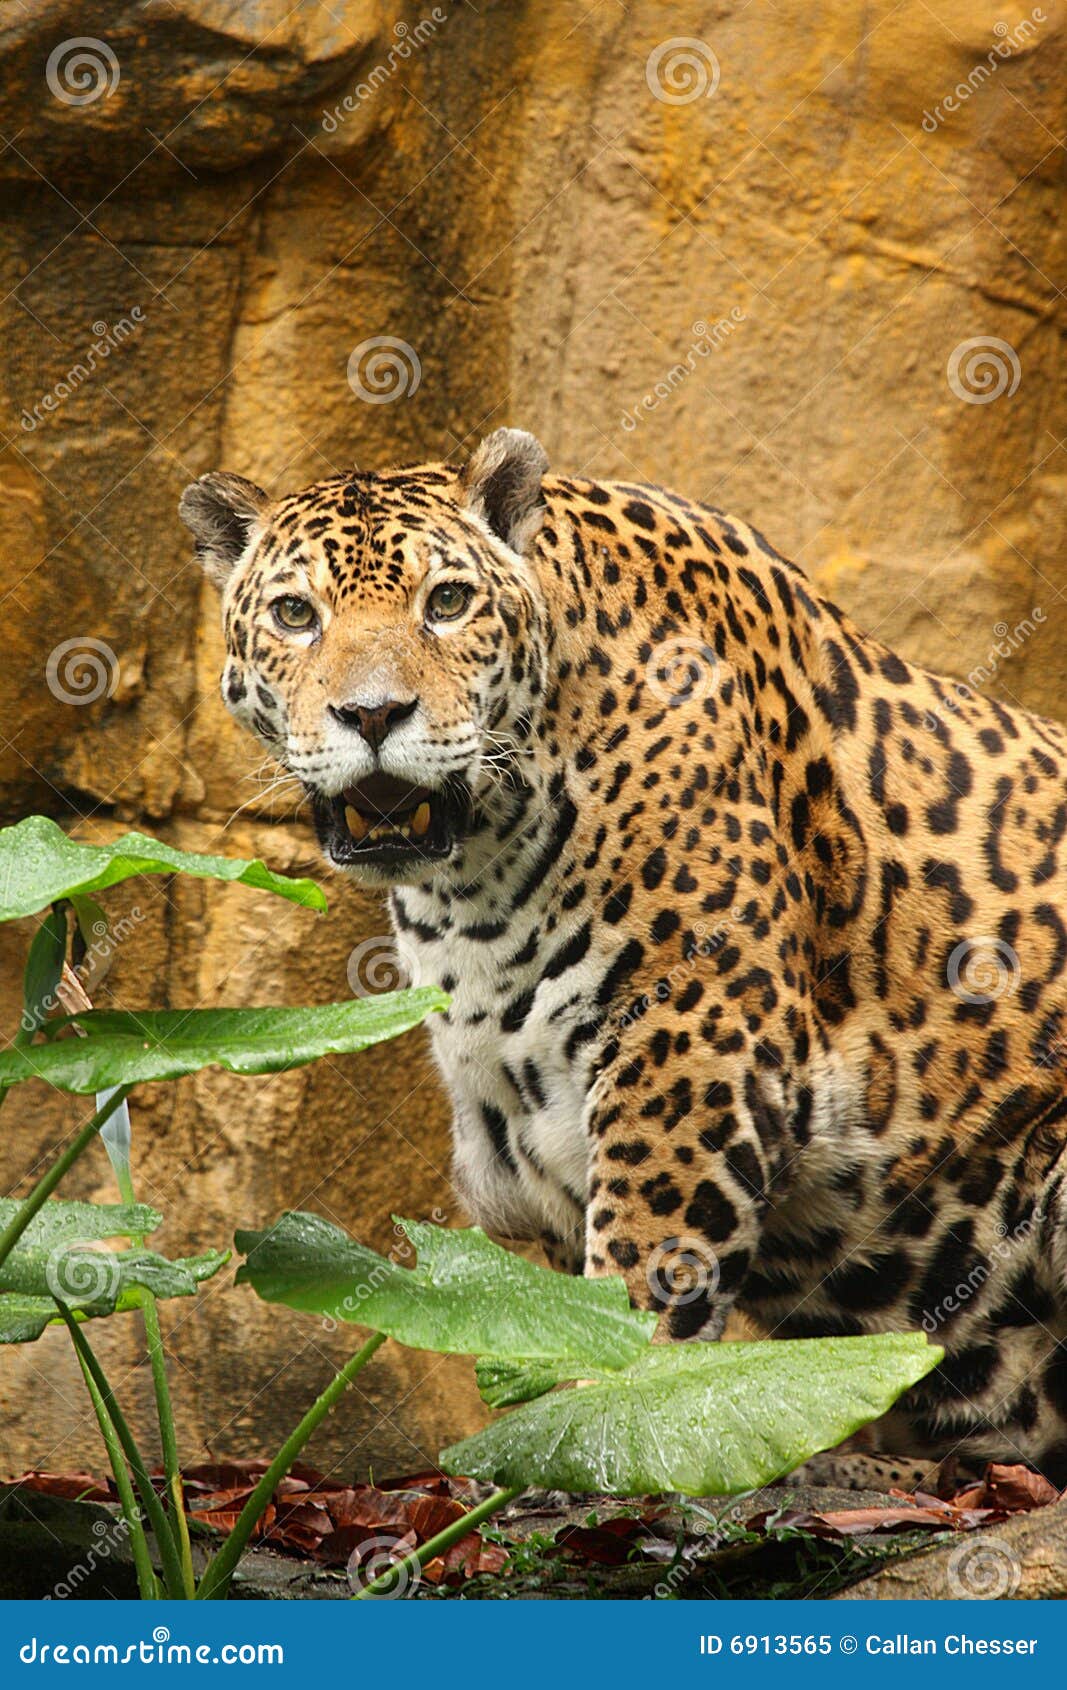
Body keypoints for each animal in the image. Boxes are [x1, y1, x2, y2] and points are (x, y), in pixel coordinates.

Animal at [181, 427, 1067, 1482]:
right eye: (295, 614)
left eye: (447, 602)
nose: (373, 715)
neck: (472, 881)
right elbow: (560, 1306)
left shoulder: (691, 1039)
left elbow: (635, 1298)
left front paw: (597, 1440)